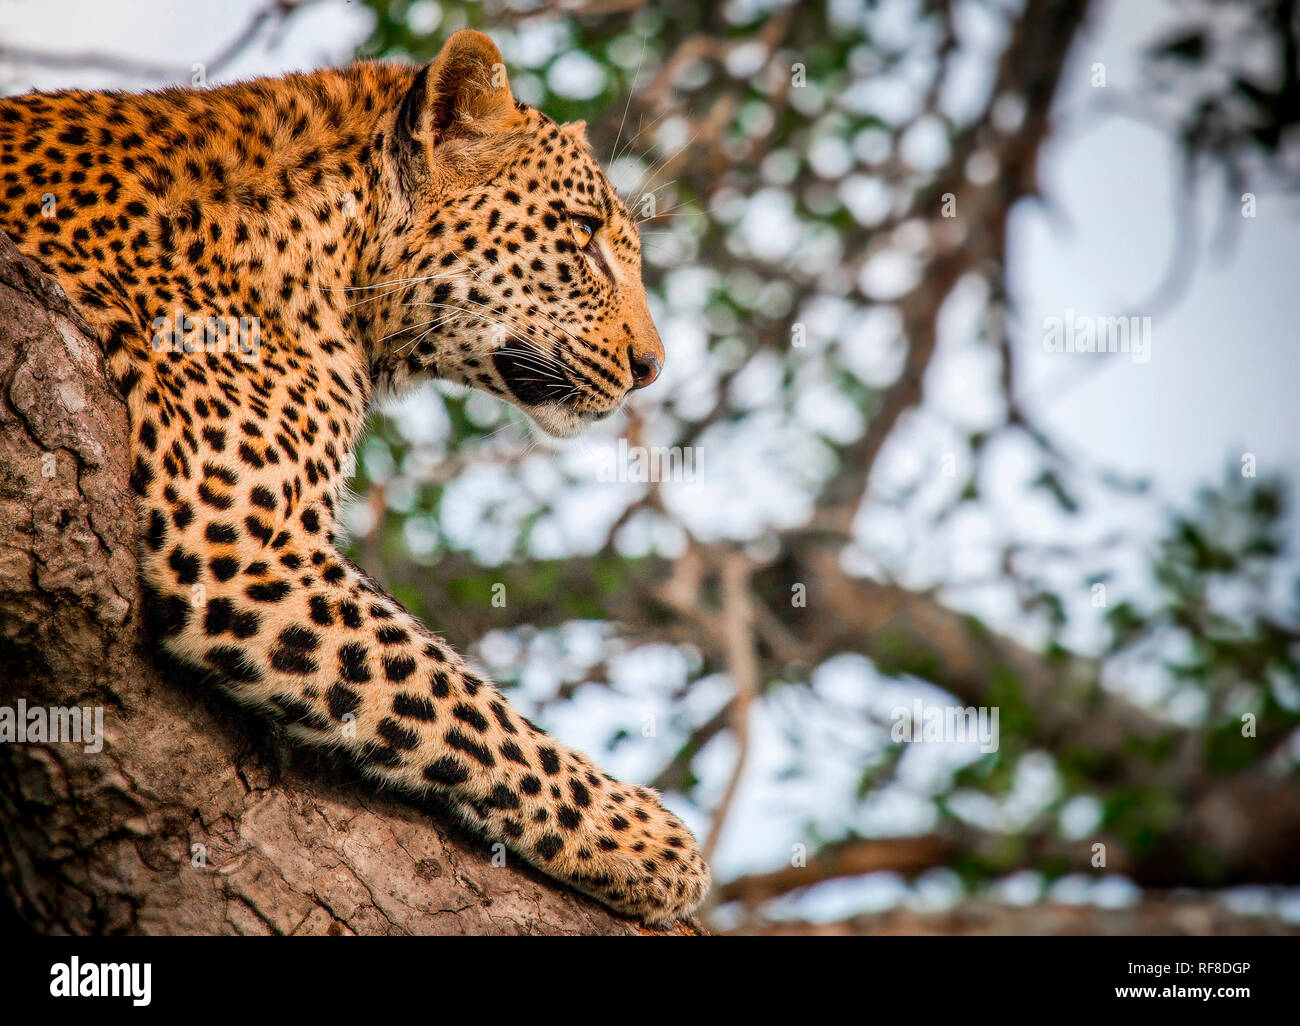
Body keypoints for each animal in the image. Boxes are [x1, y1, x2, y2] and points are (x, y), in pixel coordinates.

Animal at [0, 29, 708, 925]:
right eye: (582, 235)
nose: (653, 369)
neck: (336, 259)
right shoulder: (242, 548)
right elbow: (453, 696)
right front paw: (643, 838)